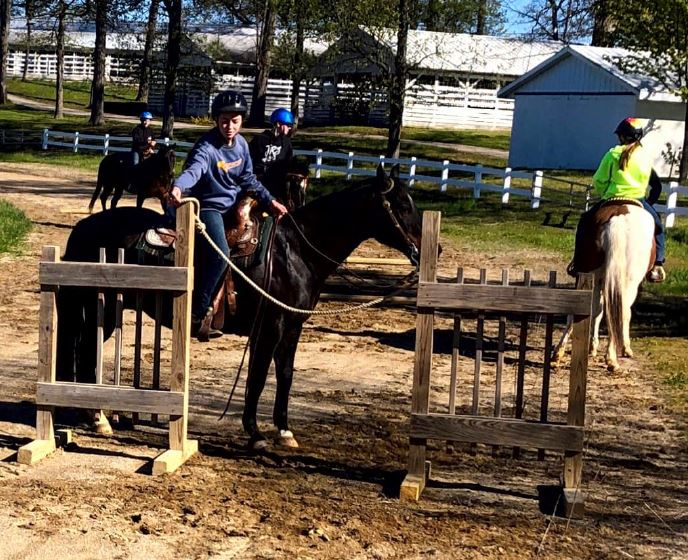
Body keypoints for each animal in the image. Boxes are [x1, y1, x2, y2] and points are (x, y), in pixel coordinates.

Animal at [57, 164, 423, 449]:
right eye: (403, 205)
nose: (426, 251)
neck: (294, 252)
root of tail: (83, 229)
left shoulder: (292, 327)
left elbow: (285, 375)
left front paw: (284, 431)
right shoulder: (270, 326)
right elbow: (258, 376)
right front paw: (256, 433)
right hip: (101, 310)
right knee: (86, 353)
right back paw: (97, 417)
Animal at [552, 201, 655, 372]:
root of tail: (617, 219)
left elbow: (597, 312)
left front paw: (592, 347)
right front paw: (626, 348)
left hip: (589, 275)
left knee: (582, 309)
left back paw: (557, 355)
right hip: (627, 283)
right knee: (619, 312)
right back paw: (612, 359)